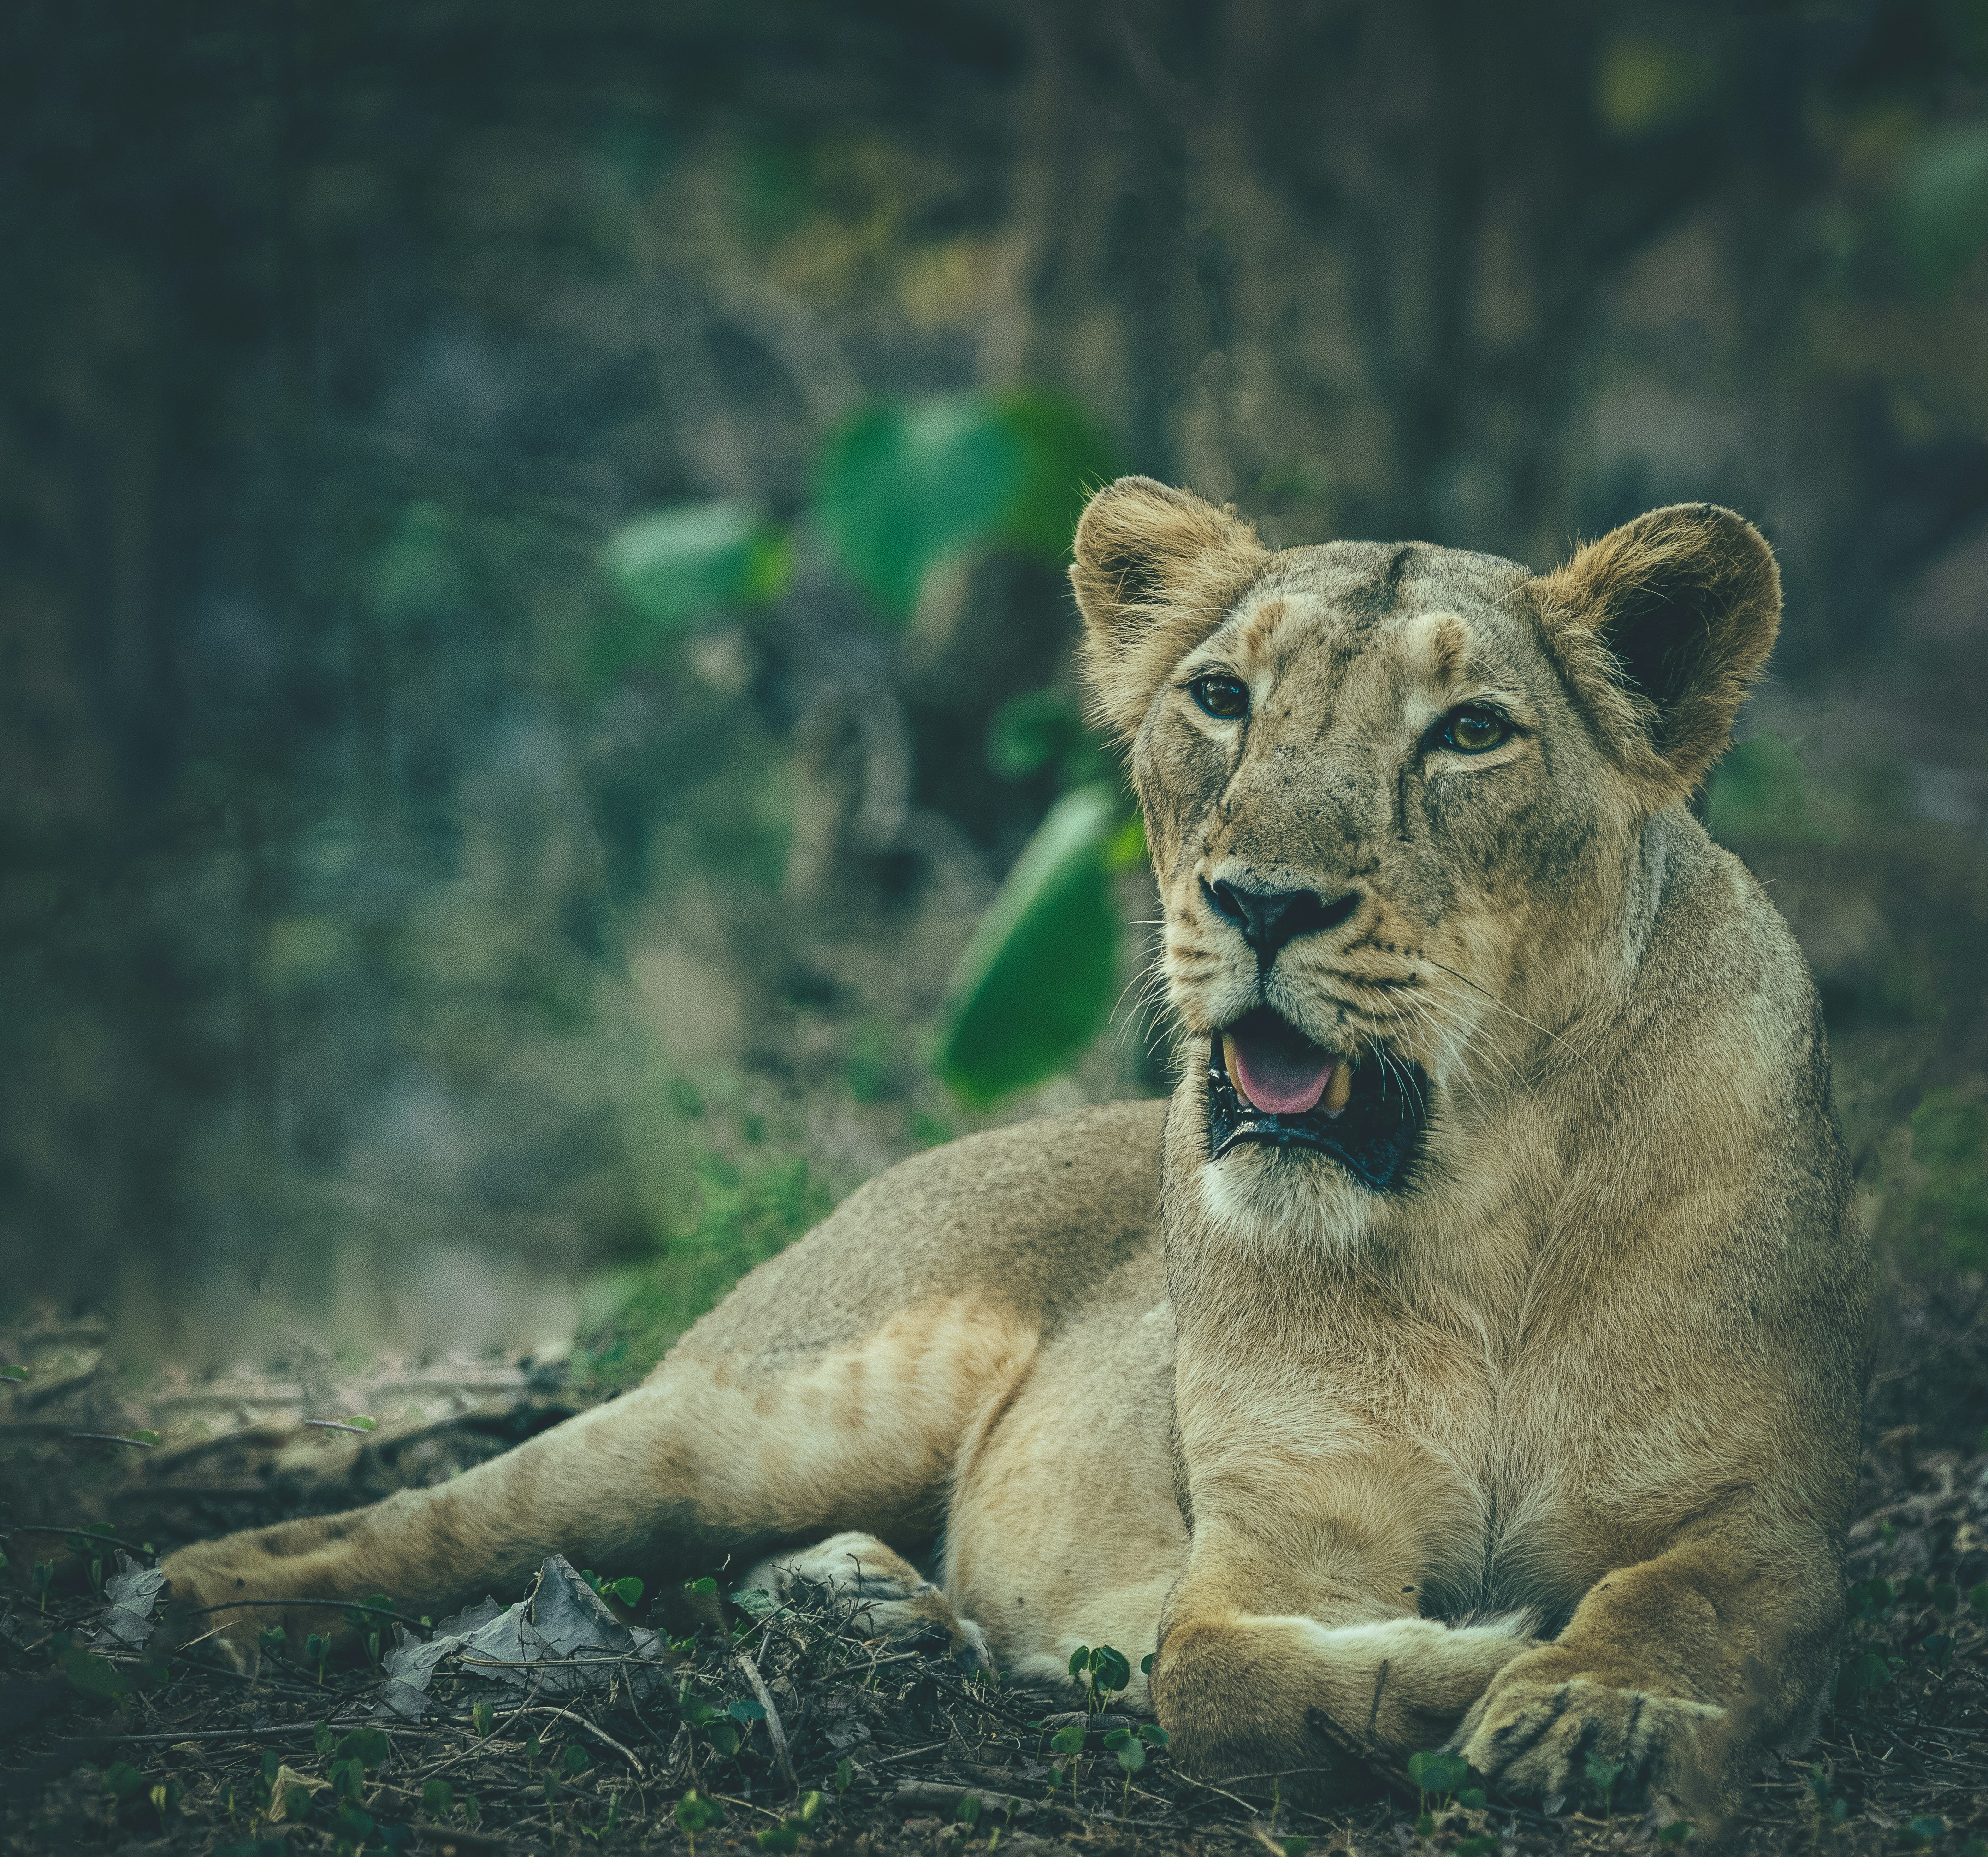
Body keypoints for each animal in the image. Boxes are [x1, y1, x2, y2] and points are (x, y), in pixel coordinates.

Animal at [160, 478, 1872, 1816]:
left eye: (1470, 733)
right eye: (1222, 699)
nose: (1260, 902)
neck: (1479, 1208)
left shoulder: (1770, 1512)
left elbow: (1693, 1601)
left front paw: (1598, 1707)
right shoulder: (1265, 1551)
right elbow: (1218, 1679)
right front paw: (1491, 1662)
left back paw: (872, 1607)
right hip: (752, 1419)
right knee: (430, 1519)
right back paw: (193, 1599)